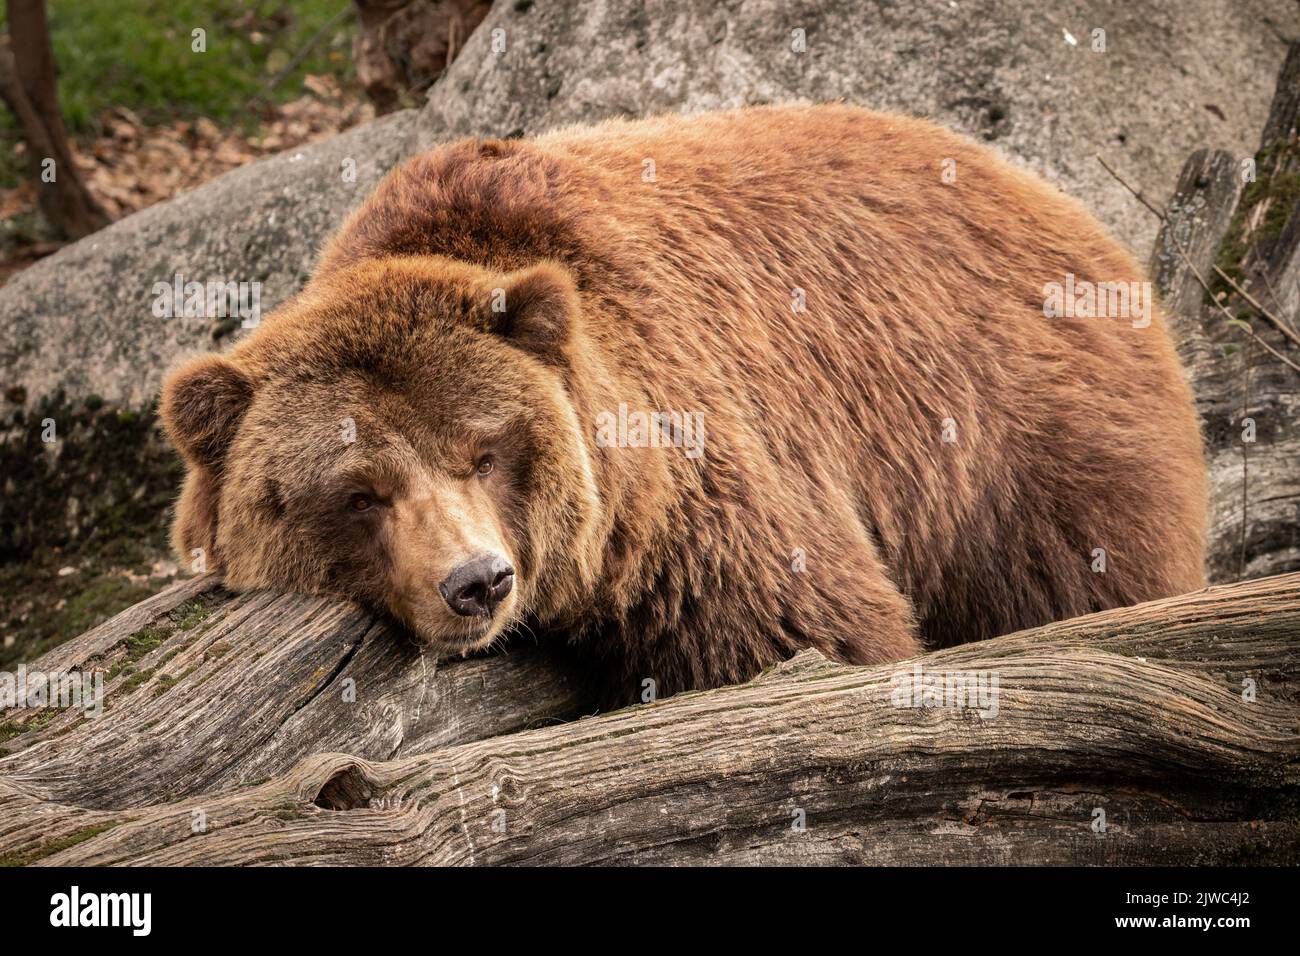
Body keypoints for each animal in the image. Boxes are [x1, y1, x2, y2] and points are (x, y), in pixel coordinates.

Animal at [160, 104, 1208, 703]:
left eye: (484, 451)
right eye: (360, 492)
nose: (477, 582)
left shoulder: (696, 482)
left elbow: (802, 629)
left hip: (1020, 445)